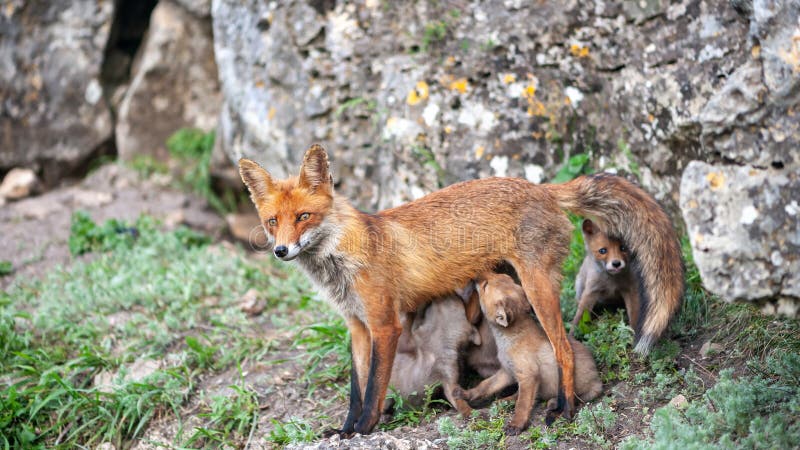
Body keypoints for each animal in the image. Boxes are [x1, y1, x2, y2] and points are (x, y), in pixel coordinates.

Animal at [455, 272, 603, 435]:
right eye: (503, 275)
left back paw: (553, 402)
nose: (476, 275)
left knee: (578, 397)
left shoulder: (528, 375)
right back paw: (505, 400)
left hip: (576, 386)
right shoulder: (507, 371)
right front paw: (466, 394)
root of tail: (597, 377)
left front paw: (516, 424)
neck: (510, 339)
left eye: (485, 285)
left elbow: (523, 404)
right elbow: (485, 386)